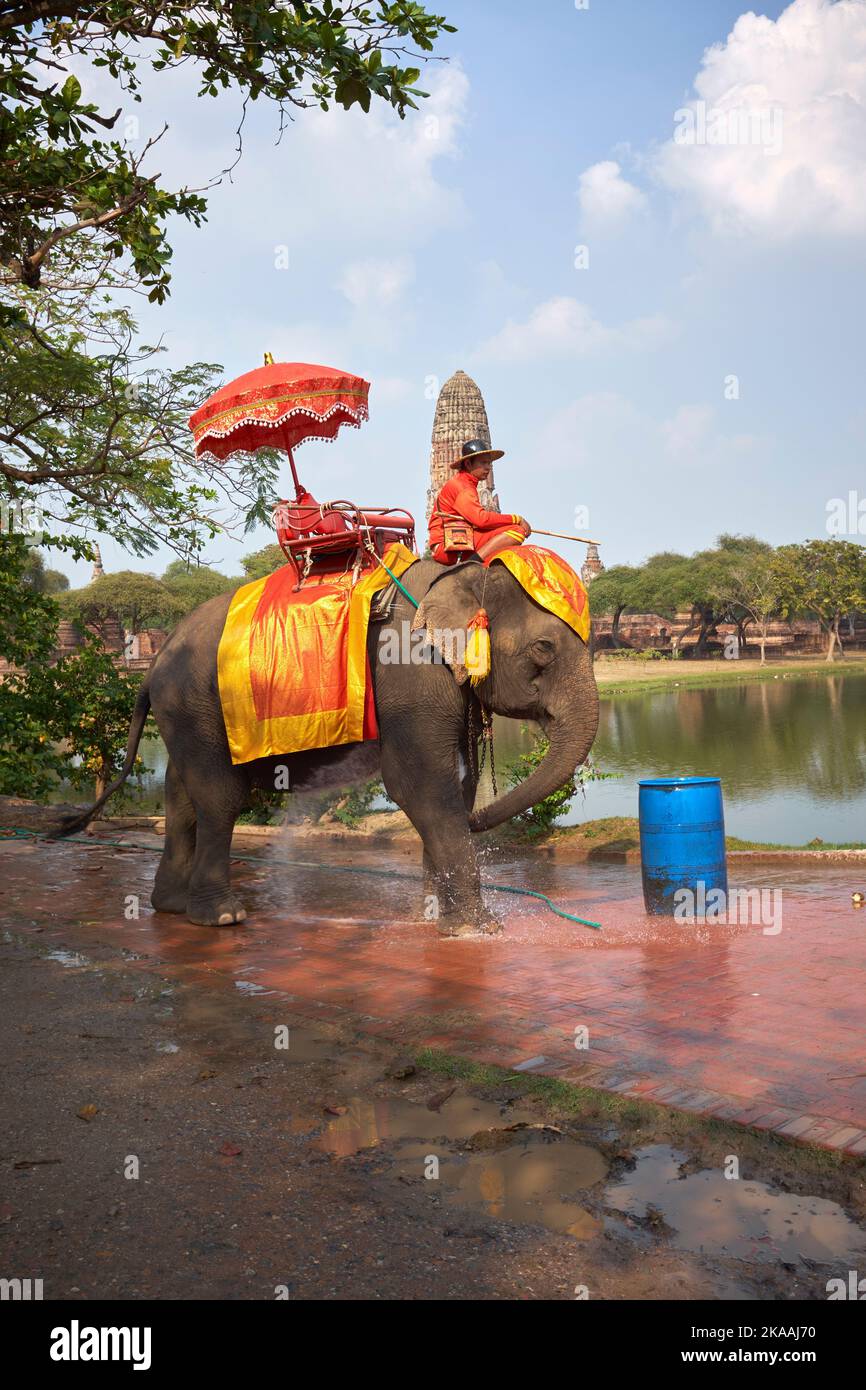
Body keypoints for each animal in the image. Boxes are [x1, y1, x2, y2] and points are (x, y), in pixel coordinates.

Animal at [56, 557, 599, 936]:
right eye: (544, 649)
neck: (466, 573)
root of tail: (152, 664)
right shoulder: (410, 674)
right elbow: (420, 787)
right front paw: (478, 929)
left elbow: (454, 789)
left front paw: (436, 919)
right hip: (195, 703)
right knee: (219, 797)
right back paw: (222, 917)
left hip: (184, 713)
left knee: (181, 794)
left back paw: (170, 906)